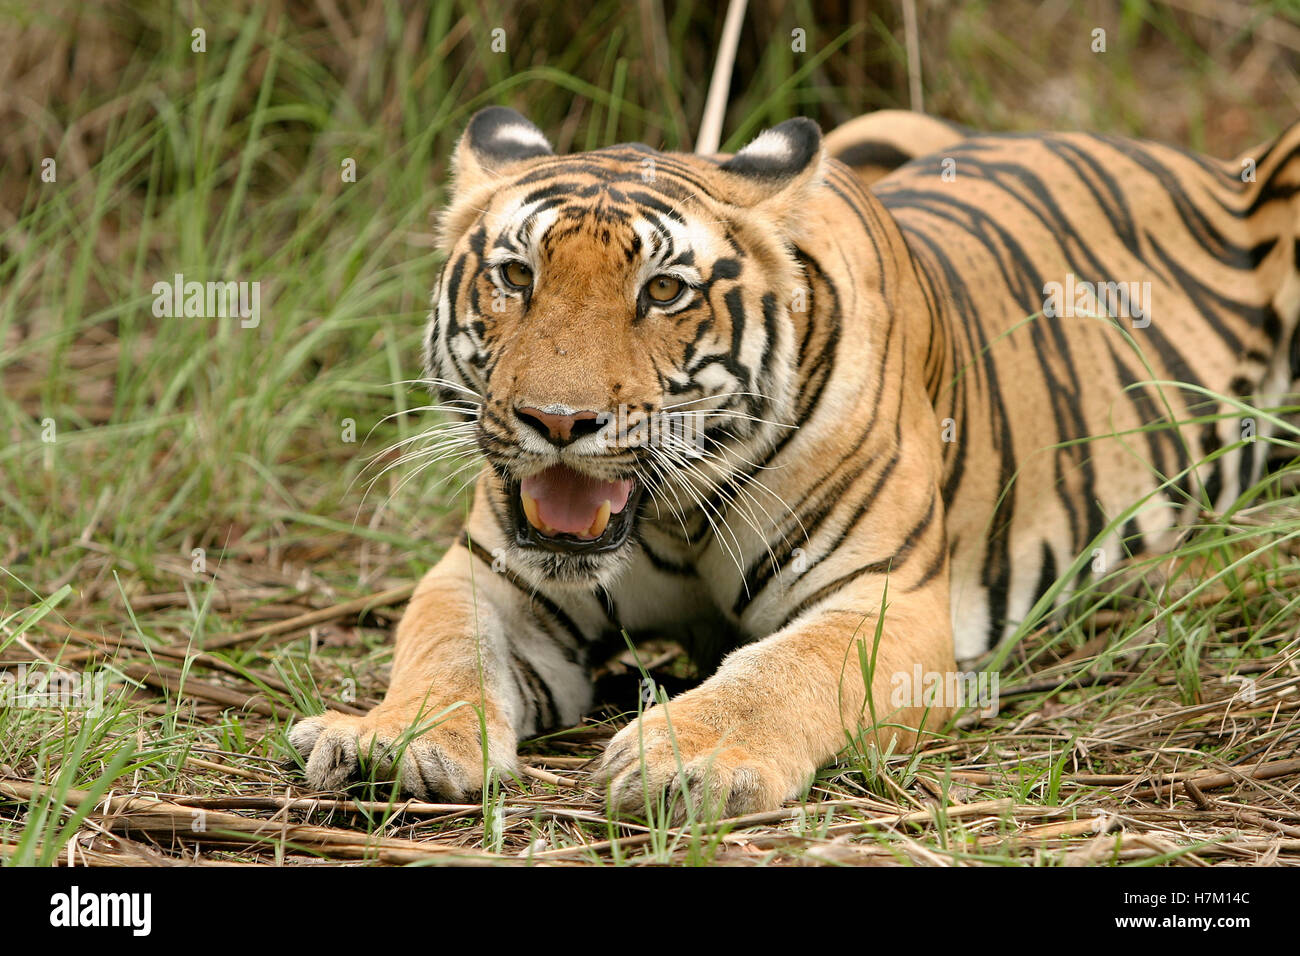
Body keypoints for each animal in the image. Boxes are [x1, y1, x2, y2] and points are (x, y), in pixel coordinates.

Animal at [288, 105, 1300, 817]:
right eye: (516, 277)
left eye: (664, 291)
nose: (557, 420)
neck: (672, 515)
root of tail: (1207, 162)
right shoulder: (488, 576)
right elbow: (443, 653)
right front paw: (388, 741)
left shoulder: (887, 599)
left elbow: (785, 673)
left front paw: (686, 759)